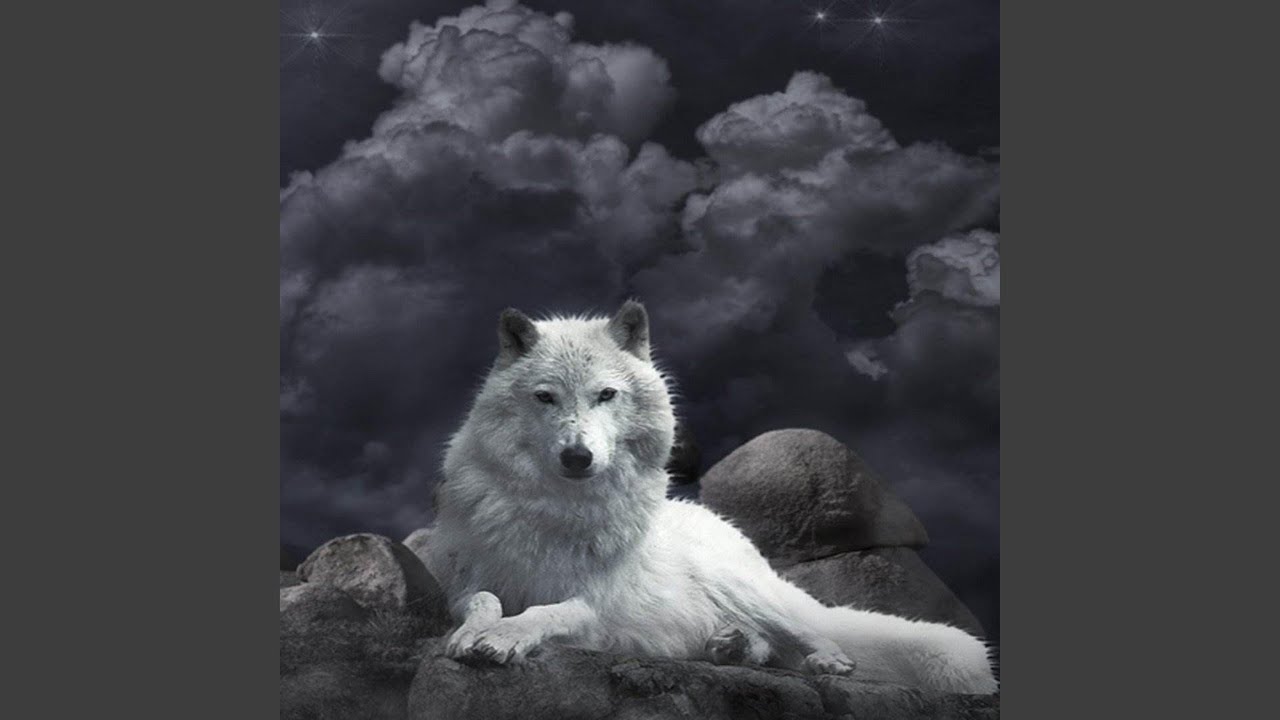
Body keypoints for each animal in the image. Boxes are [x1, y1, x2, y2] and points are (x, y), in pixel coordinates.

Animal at [421, 301, 997, 694]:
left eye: (606, 394)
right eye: (545, 397)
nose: (577, 457)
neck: (557, 509)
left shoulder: (596, 605)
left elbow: (547, 612)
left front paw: (504, 638)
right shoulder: (464, 581)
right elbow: (484, 600)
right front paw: (472, 633)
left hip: (744, 586)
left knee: (806, 631)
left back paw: (823, 660)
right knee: (768, 647)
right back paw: (730, 645)